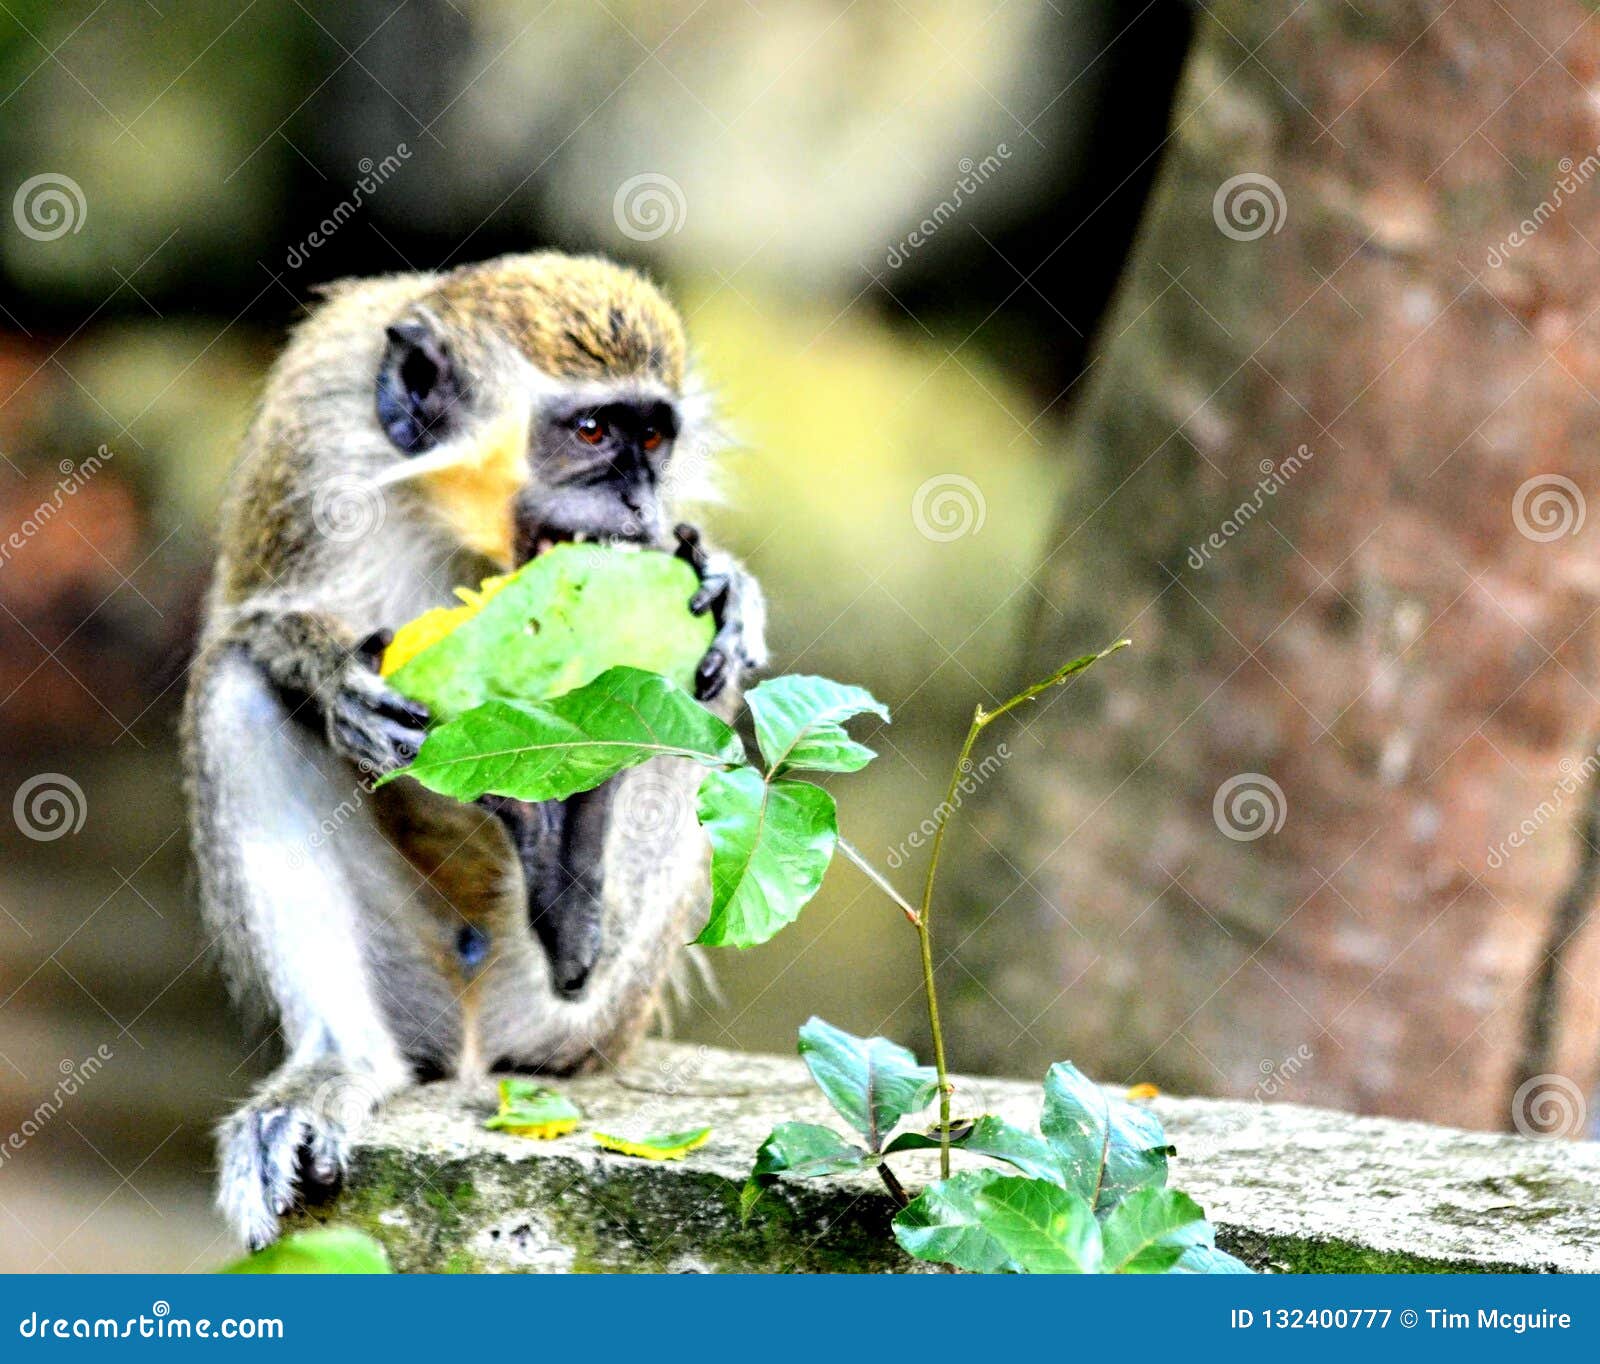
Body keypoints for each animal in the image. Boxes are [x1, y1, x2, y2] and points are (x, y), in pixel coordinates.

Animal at [181, 253, 766, 1248]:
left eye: (653, 439)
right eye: (591, 430)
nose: (639, 504)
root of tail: (475, 1045)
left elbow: (710, 626)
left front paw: (731, 586)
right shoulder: (311, 432)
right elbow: (247, 625)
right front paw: (337, 679)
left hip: (586, 1025)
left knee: (701, 689)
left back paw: (571, 895)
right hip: (415, 977)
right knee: (237, 690)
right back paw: (336, 1066)